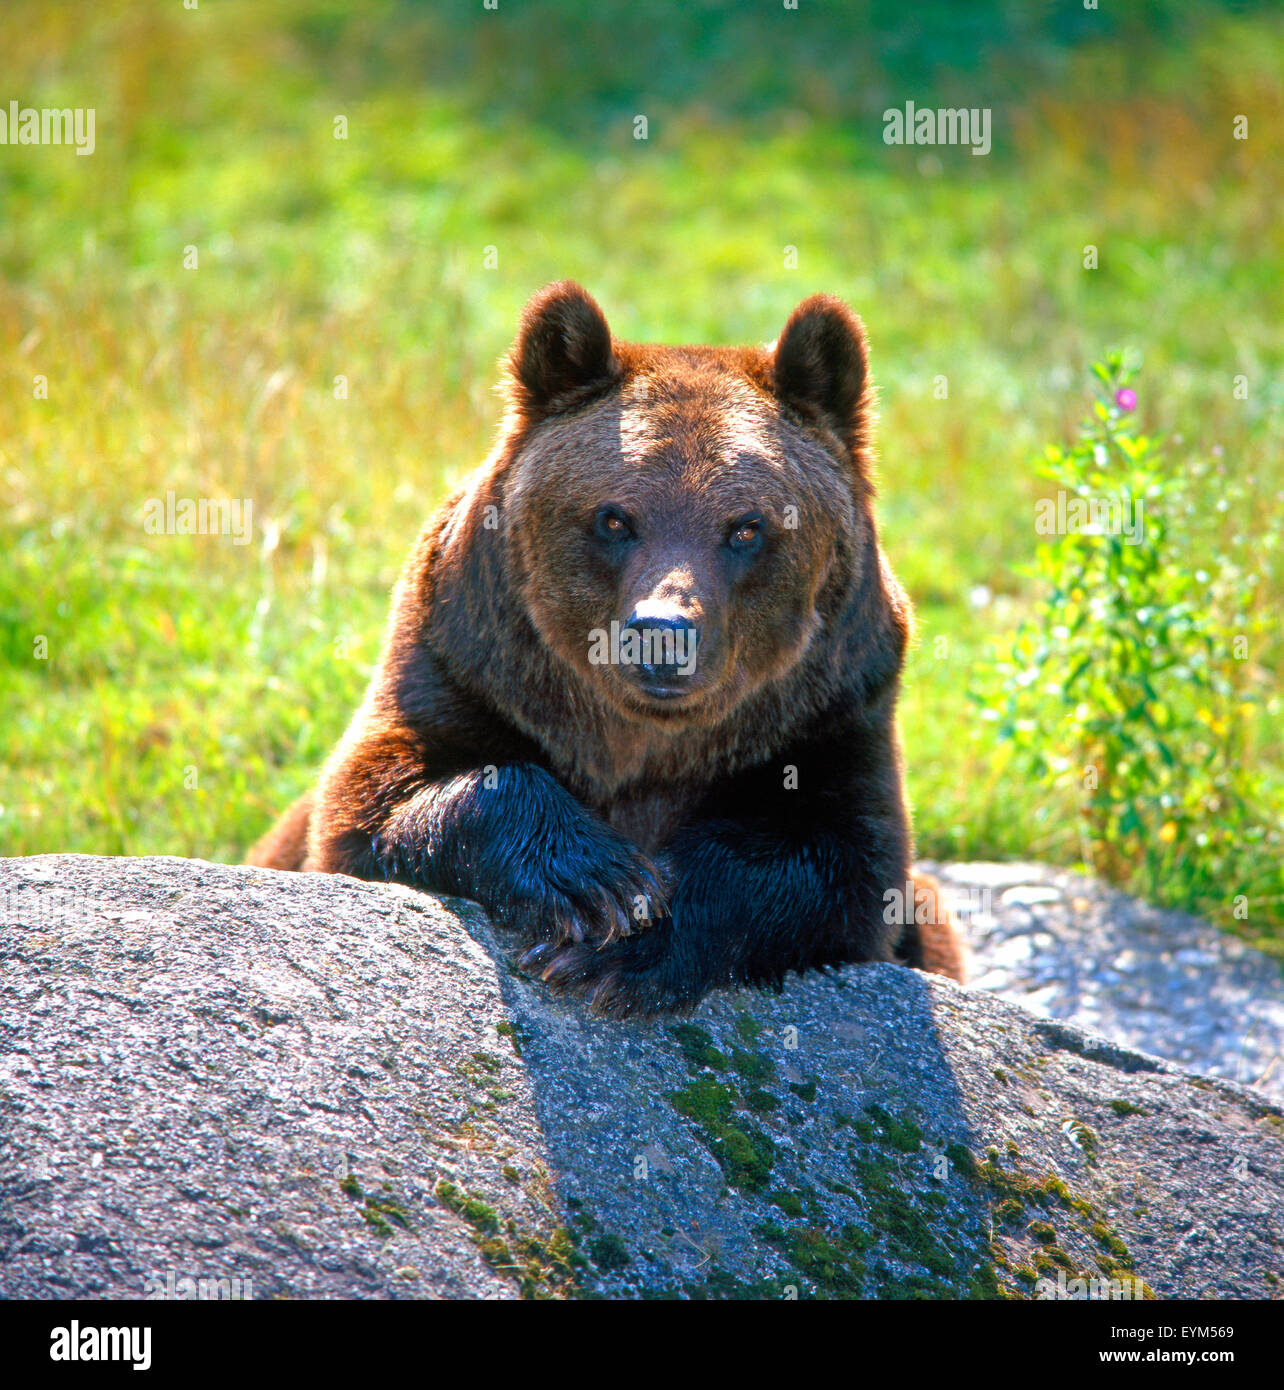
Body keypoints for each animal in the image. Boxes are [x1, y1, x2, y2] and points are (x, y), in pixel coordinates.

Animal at [247, 281, 967, 1016]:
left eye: (746, 527)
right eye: (615, 517)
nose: (663, 632)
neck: (642, 741)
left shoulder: (831, 715)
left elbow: (834, 864)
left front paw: (626, 944)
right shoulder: (460, 666)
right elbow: (377, 800)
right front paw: (597, 884)